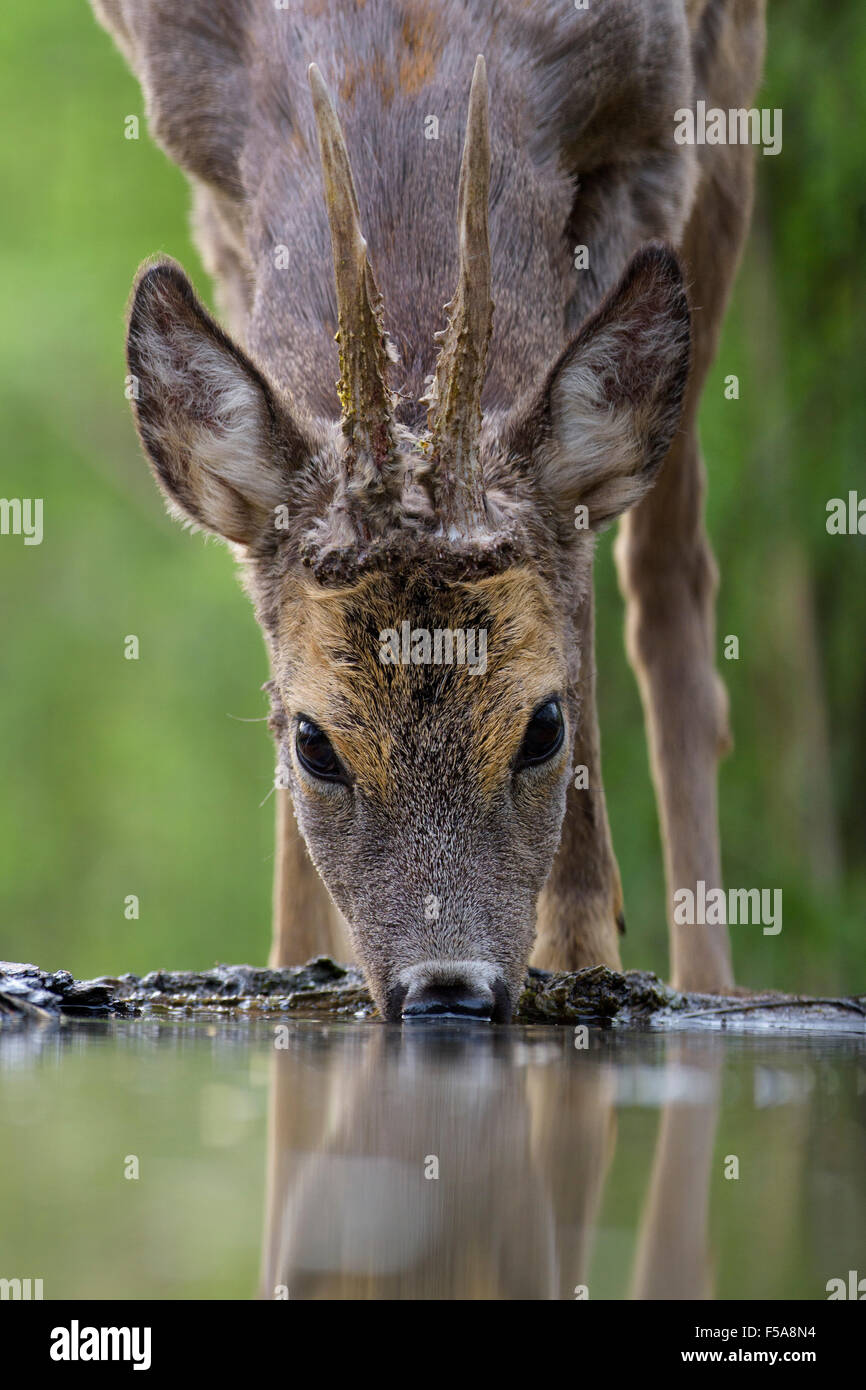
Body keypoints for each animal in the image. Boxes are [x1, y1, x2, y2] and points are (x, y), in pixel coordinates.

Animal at [91, 0, 766, 1021]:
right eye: (313, 744)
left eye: (543, 725)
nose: (448, 989)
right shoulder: (208, 178)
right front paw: (294, 963)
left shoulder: (660, 130)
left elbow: (582, 584)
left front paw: (579, 957)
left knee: (671, 570)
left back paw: (707, 985)